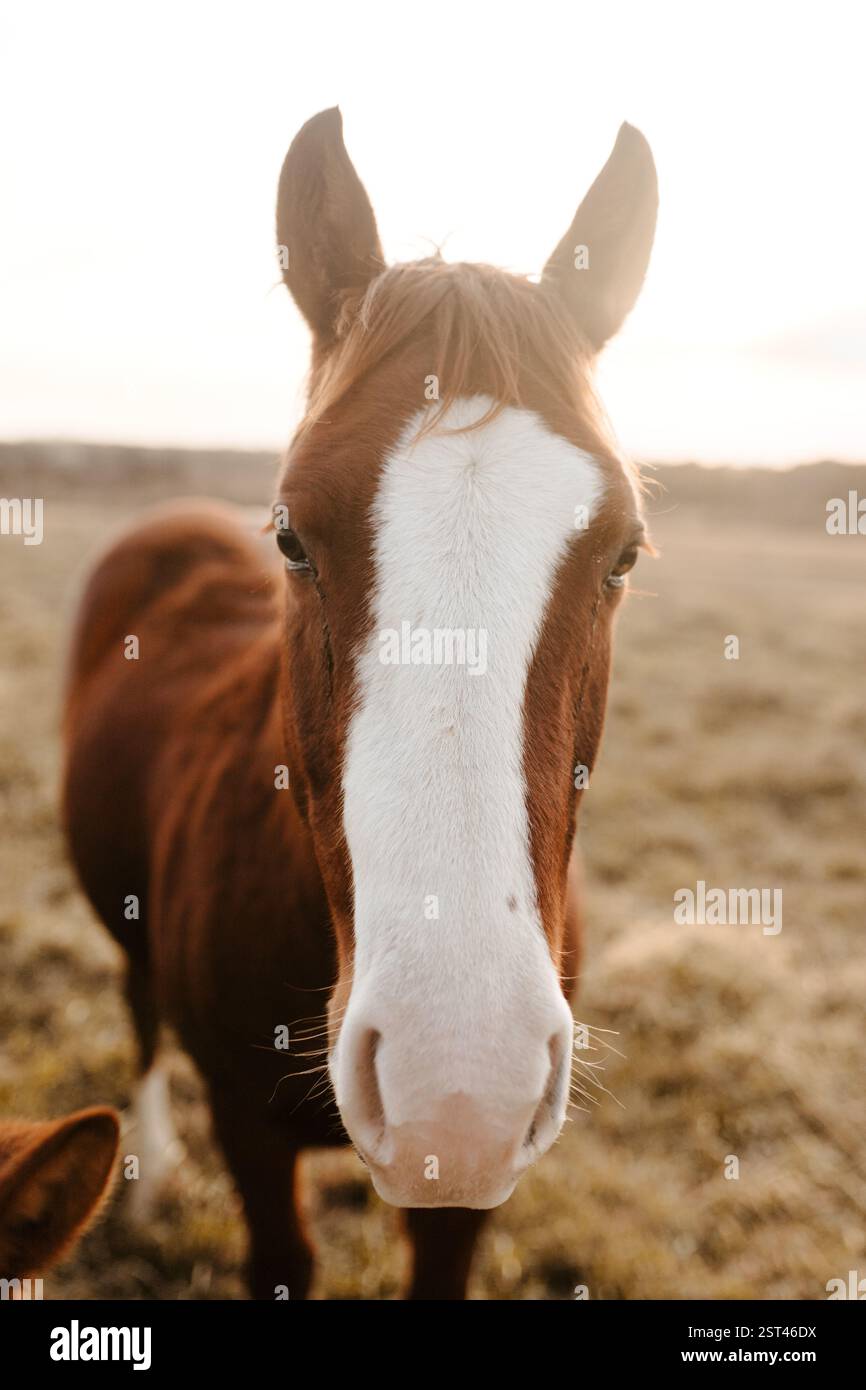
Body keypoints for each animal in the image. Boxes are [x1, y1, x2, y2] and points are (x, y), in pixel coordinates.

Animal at [62, 108, 657, 1300]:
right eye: (291, 534)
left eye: (622, 553)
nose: (457, 1080)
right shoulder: (248, 1132)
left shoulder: (464, 1205)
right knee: (139, 1012)